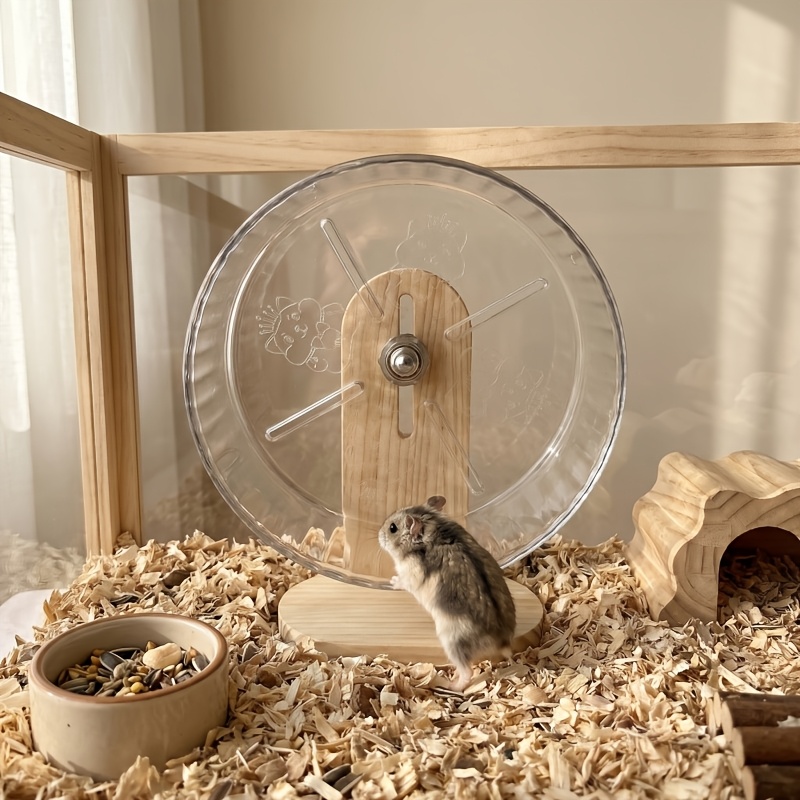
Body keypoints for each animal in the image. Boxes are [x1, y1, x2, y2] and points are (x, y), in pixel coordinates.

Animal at [378, 495, 516, 691]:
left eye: (392, 528)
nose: (378, 534)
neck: (432, 528)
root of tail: (502, 642)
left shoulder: (411, 574)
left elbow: (402, 581)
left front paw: (392, 581)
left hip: (452, 641)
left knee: (467, 673)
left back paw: (449, 684)